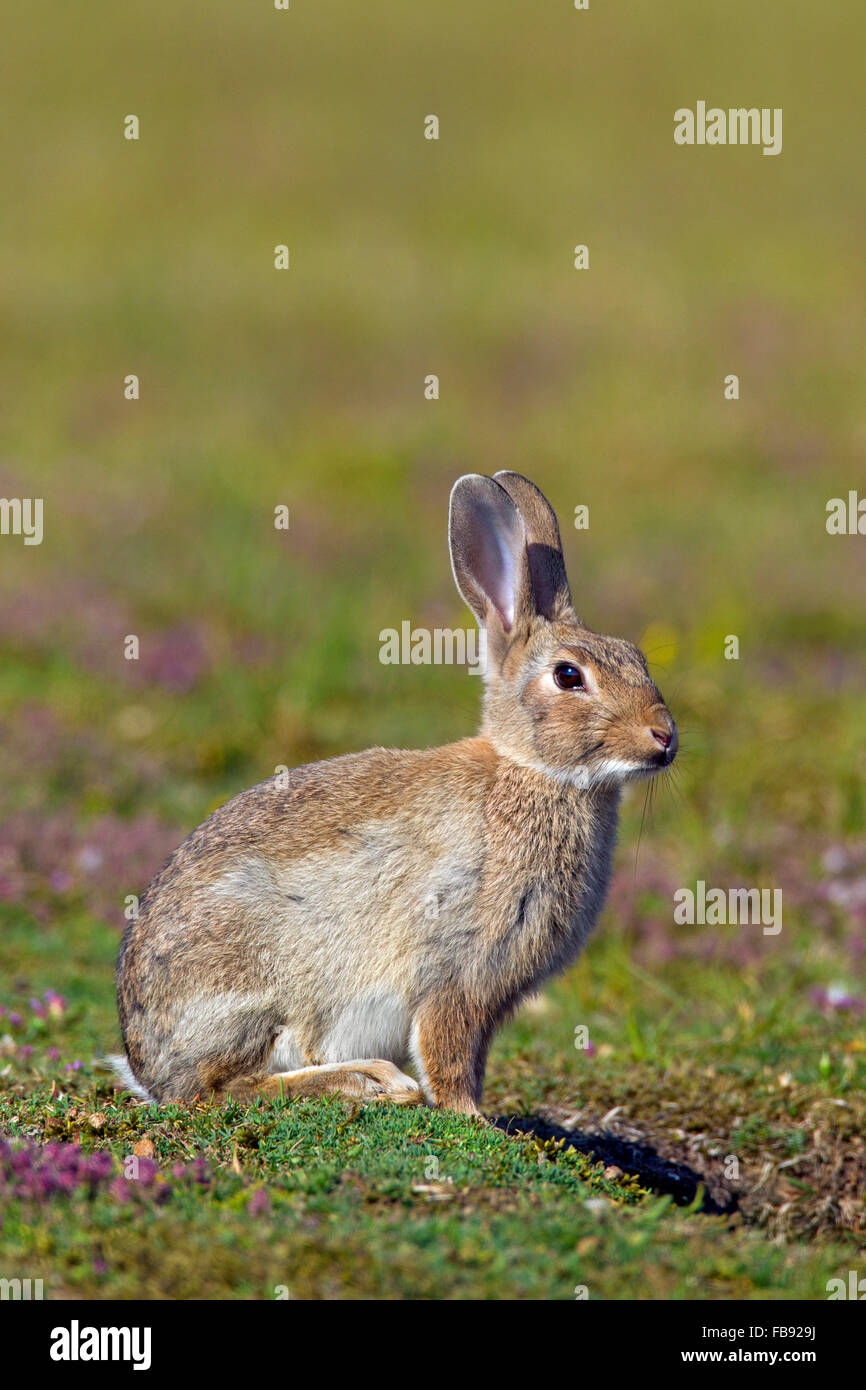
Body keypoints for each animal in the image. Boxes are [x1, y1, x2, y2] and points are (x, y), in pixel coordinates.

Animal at [112, 472, 677, 1114]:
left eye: (637, 658)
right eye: (568, 676)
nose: (664, 737)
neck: (531, 771)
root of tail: (146, 1066)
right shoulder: (456, 968)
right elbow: (448, 1051)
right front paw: (475, 1119)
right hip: (256, 990)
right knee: (224, 1088)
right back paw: (368, 1081)